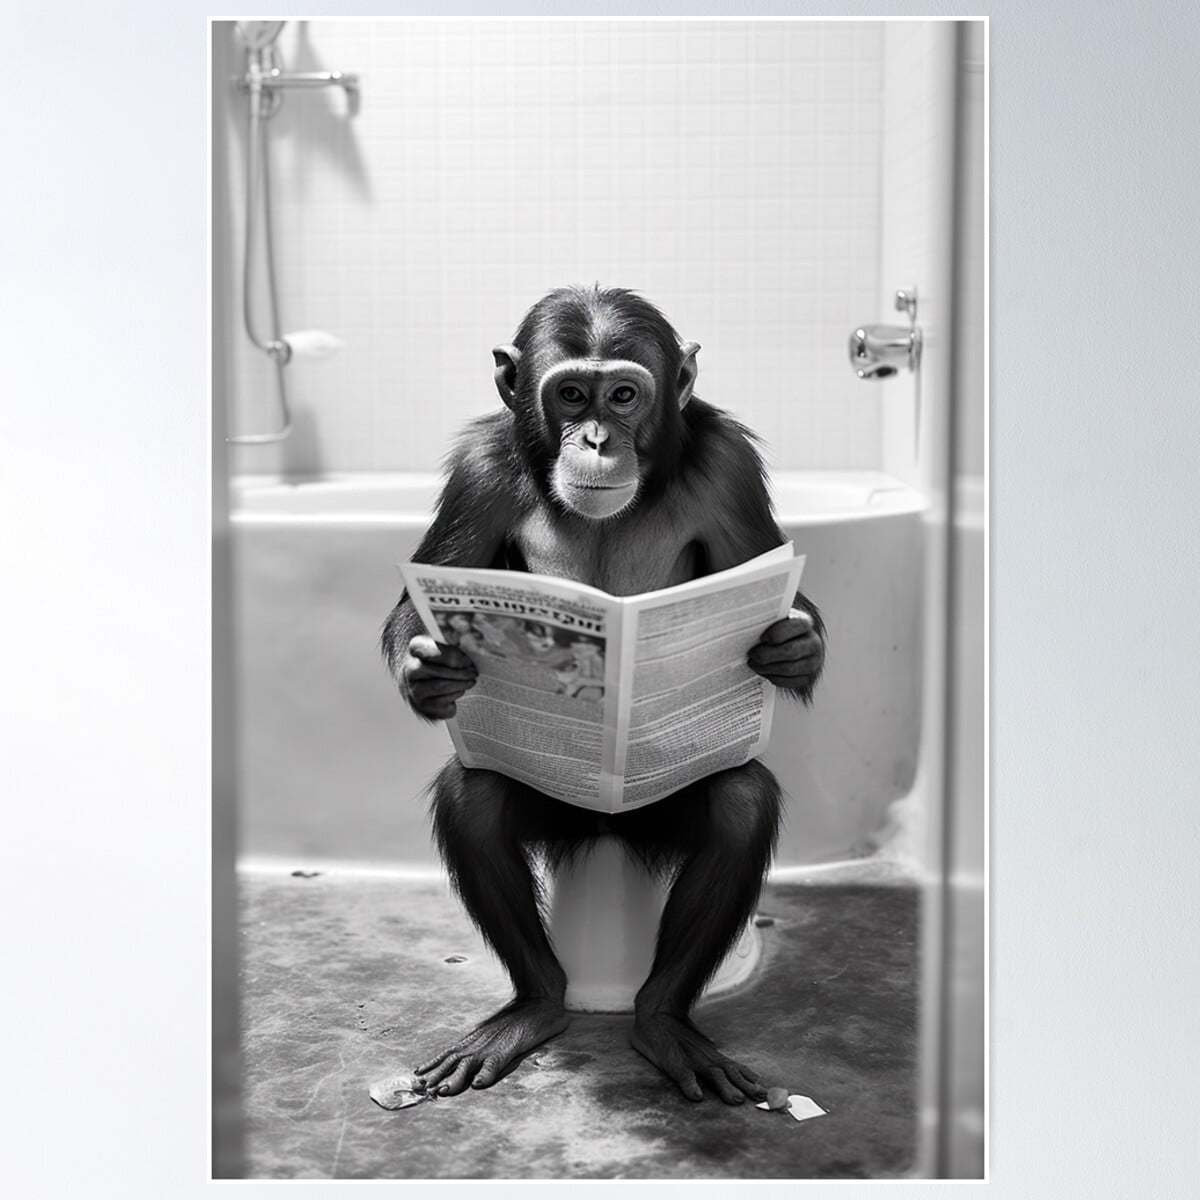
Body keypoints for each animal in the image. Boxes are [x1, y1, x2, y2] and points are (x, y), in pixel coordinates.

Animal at [382, 286, 826, 1105]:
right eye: (570, 394)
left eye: (623, 395)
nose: (594, 438)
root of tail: (605, 829)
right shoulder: (478, 472)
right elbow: (421, 593)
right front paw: (431, 666)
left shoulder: (729, 467)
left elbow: (764, 570)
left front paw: (793, 643)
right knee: (474, 798)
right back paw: (534, 1006)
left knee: (739, 800)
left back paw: (664, 1022)